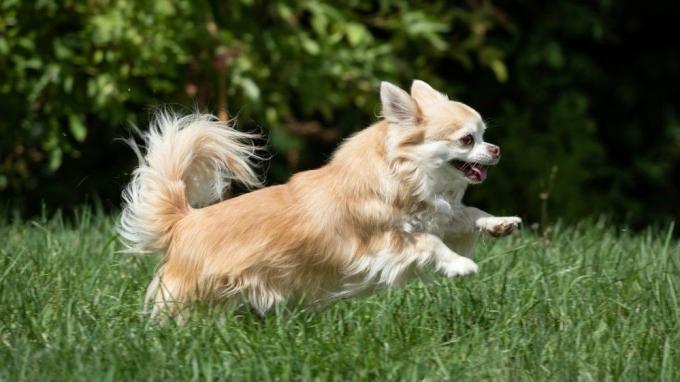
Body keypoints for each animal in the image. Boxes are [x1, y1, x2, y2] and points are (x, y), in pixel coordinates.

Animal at [118, 80, 520, 316]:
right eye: (467, 139)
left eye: (484, 135)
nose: (496, 149)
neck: (403, 175)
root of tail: (185, 220)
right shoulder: (383, 243)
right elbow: (430, 243)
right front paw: (460, 265)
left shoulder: (437, 215)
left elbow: (466, 214)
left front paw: (500, 224)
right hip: (193, 293)